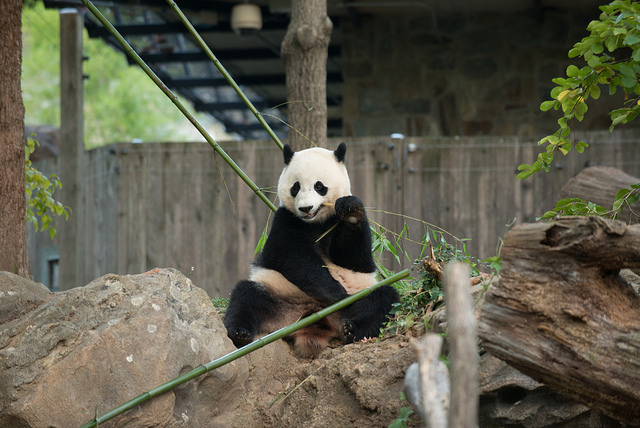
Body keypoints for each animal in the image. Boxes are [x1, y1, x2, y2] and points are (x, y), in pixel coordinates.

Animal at [224, 142, 399, 358]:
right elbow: (292, 257)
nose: (306, 208)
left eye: (319, 186)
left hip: (357, 298)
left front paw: (351, 211)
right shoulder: (285, 220)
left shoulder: (337, 224)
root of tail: (315, 320)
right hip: (279, 297)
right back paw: (240, 333)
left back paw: (352, 329)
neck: (316, 222)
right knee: (246, 296)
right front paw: (338, 295)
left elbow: (355, 259)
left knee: (383, 299)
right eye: (296, 187)